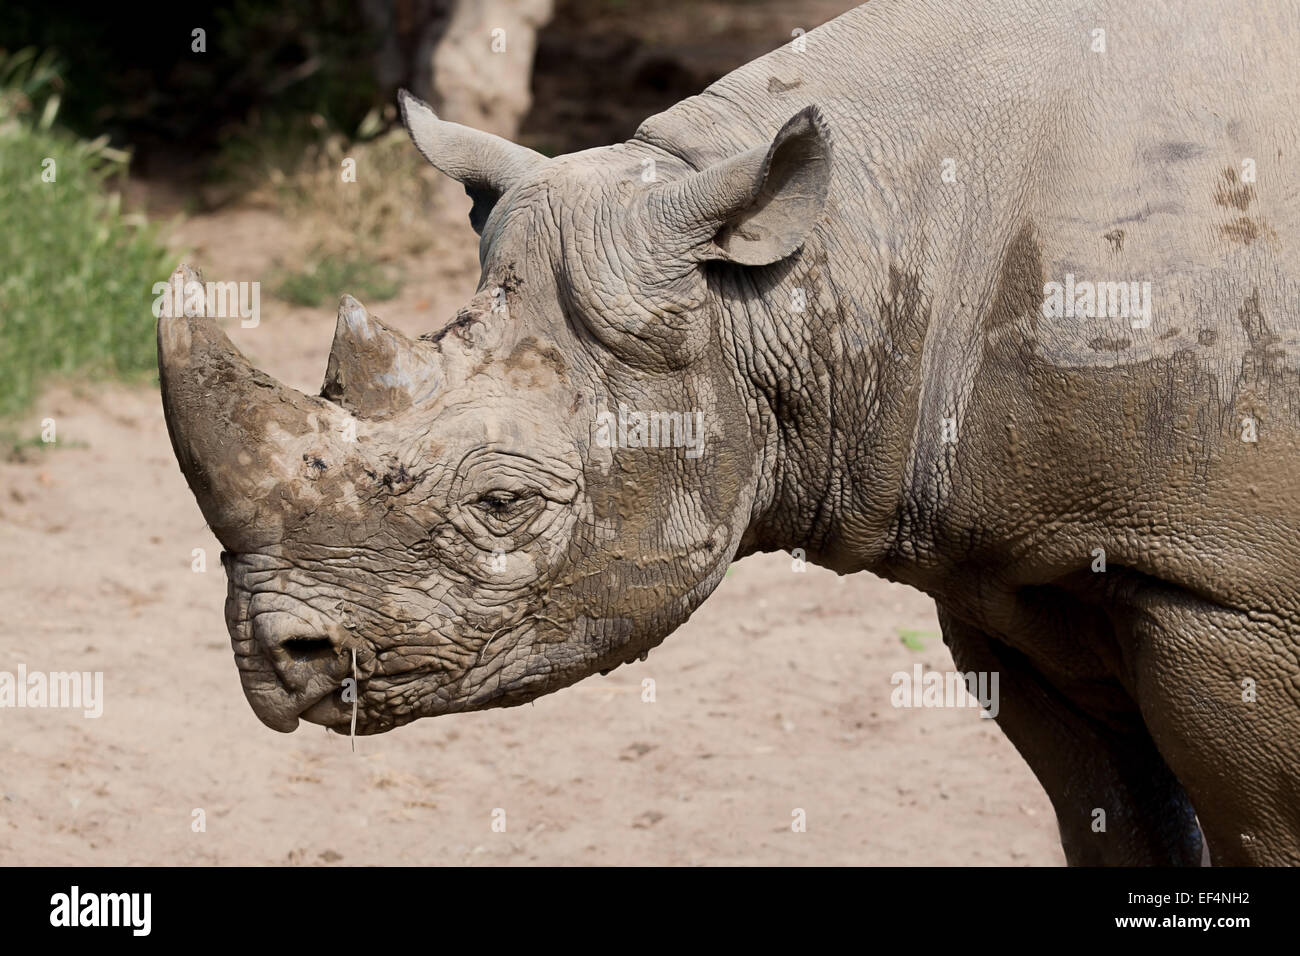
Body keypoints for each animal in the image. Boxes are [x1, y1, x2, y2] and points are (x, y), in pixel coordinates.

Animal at [158, 0, 1300, 865]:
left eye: (503, 503)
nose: (273, 659)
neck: (811, 267)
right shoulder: (1015, 564)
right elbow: (1110, 820)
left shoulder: (1233, 599)